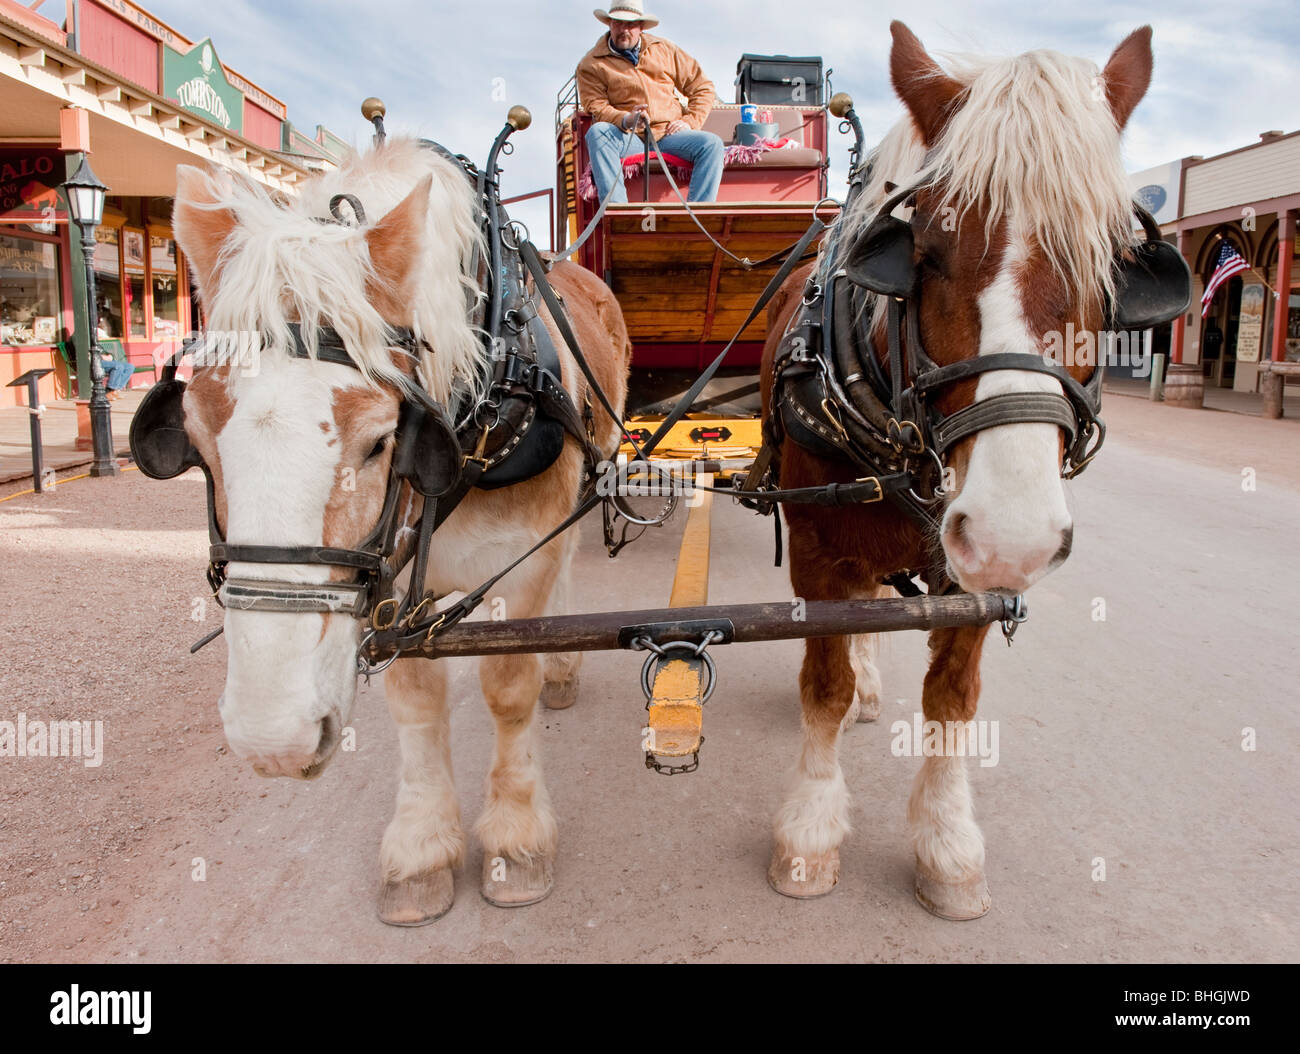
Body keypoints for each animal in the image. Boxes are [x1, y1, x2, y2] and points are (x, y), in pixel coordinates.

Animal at [167, 136, 631, 925]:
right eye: (195, 436)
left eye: (382, 440)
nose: (273, 739)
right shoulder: (388, 574)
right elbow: (414, 698)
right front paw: (421, 850)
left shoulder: (519, 560)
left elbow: (508, 685)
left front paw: (515, 841)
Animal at [760, 22, 1160, 918]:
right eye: (929, 251)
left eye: (1111, 260)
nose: (1016, 529)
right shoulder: (816, 546)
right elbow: (821, 685)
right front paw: (809, 831)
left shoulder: (975, 577)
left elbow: (952, 696)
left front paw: (946, 845)